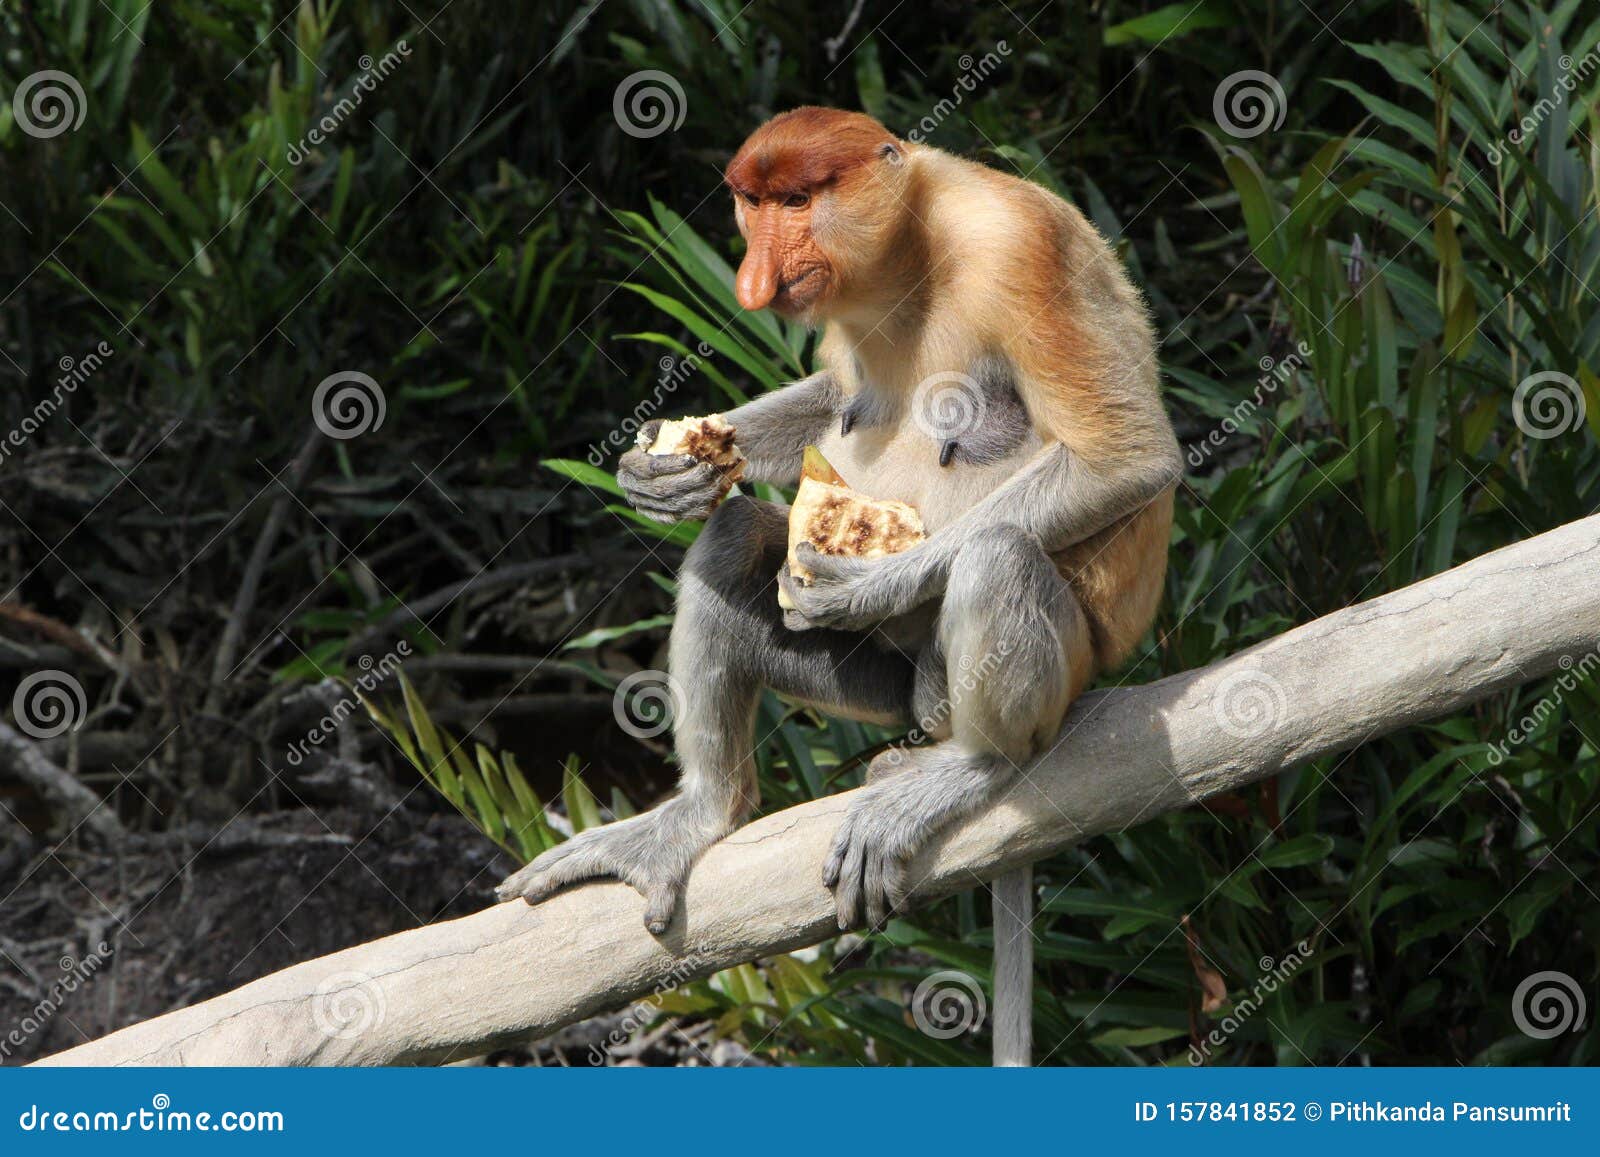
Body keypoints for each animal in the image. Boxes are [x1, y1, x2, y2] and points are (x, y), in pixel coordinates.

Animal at [498, 109, 1179, 1023]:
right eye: (752, 204)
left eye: (796, 201)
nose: (754, 277)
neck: (915, 247)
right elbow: (832, 395)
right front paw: (666, 471)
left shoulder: (1018, 246)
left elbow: (1128, 459)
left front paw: (865, 586)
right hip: (878, 689)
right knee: (736, 538)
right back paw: (701, 812)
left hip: (1063, 661)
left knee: (997, 556)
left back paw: (974, 765)